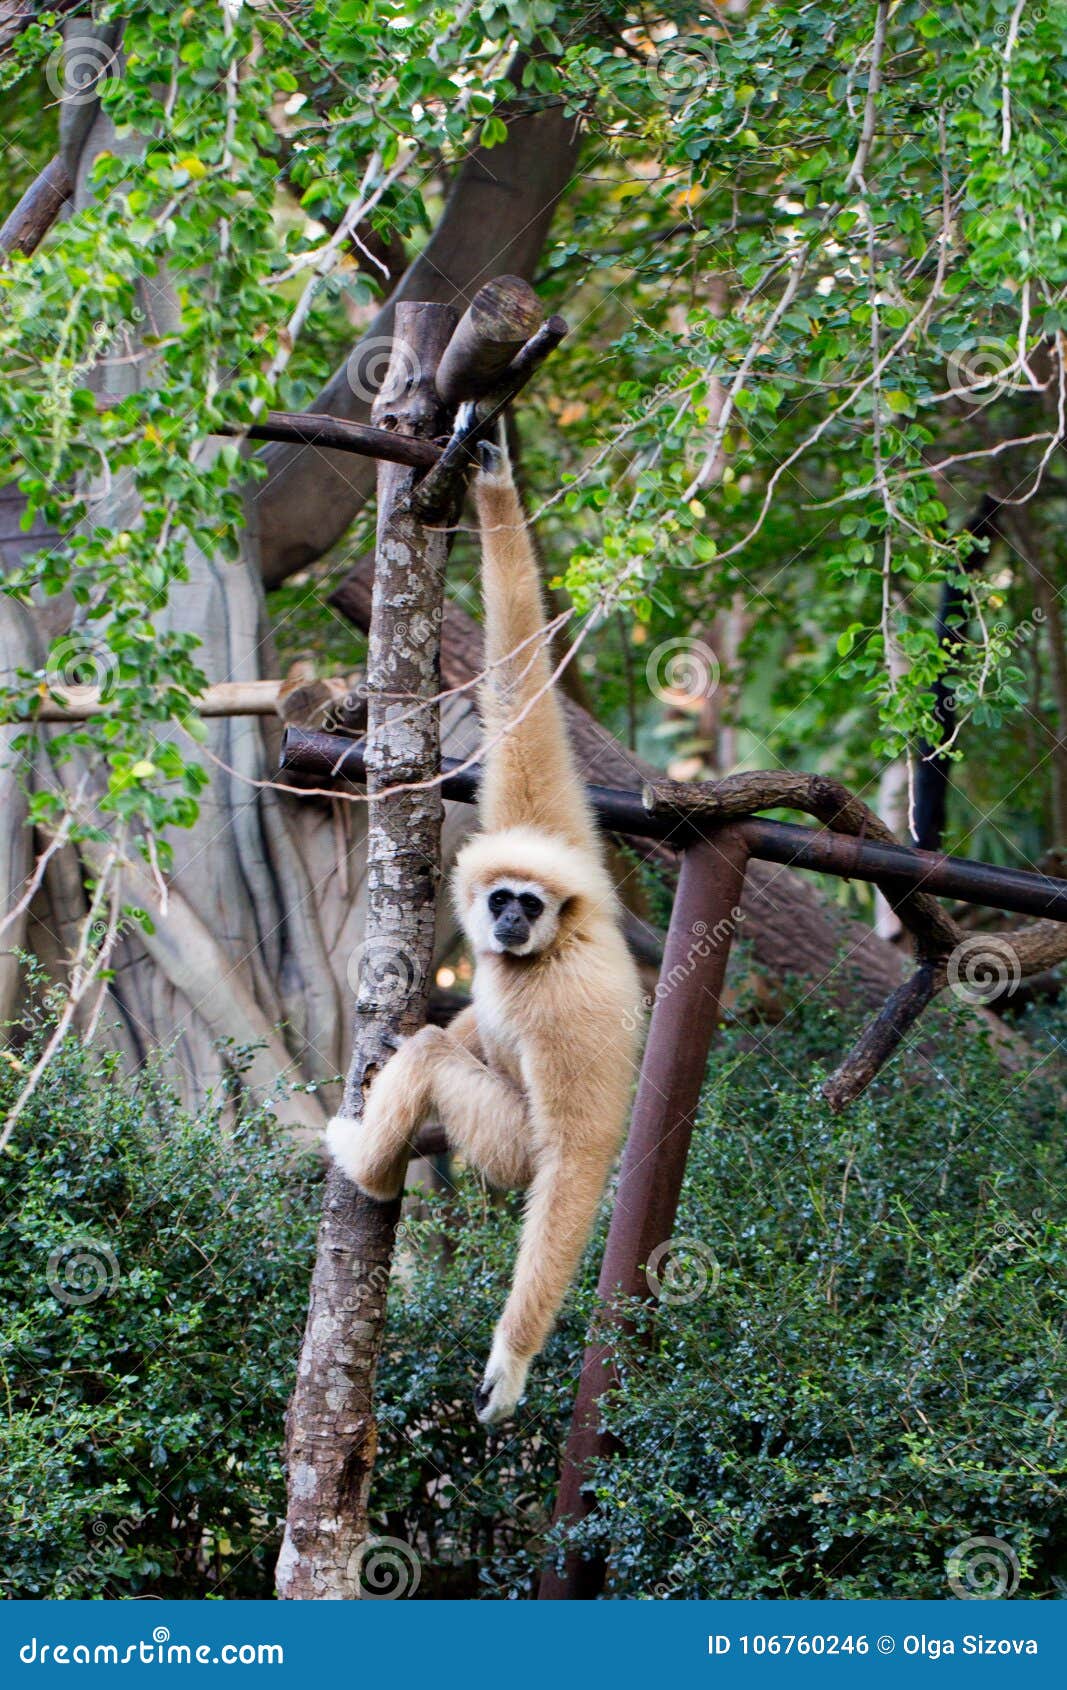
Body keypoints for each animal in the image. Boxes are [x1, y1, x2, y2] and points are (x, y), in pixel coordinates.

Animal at [326, 436, 644, 1425]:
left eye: (527, 906)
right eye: (503, 895)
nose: (505, 918)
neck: (553, 948)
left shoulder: (572, 1005)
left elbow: (579, 1159)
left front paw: (513, 1358)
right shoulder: (566, 847)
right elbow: (522, 701)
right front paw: (493, 489)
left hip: (501, 1151)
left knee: (438, 1061)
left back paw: (362, 1160)